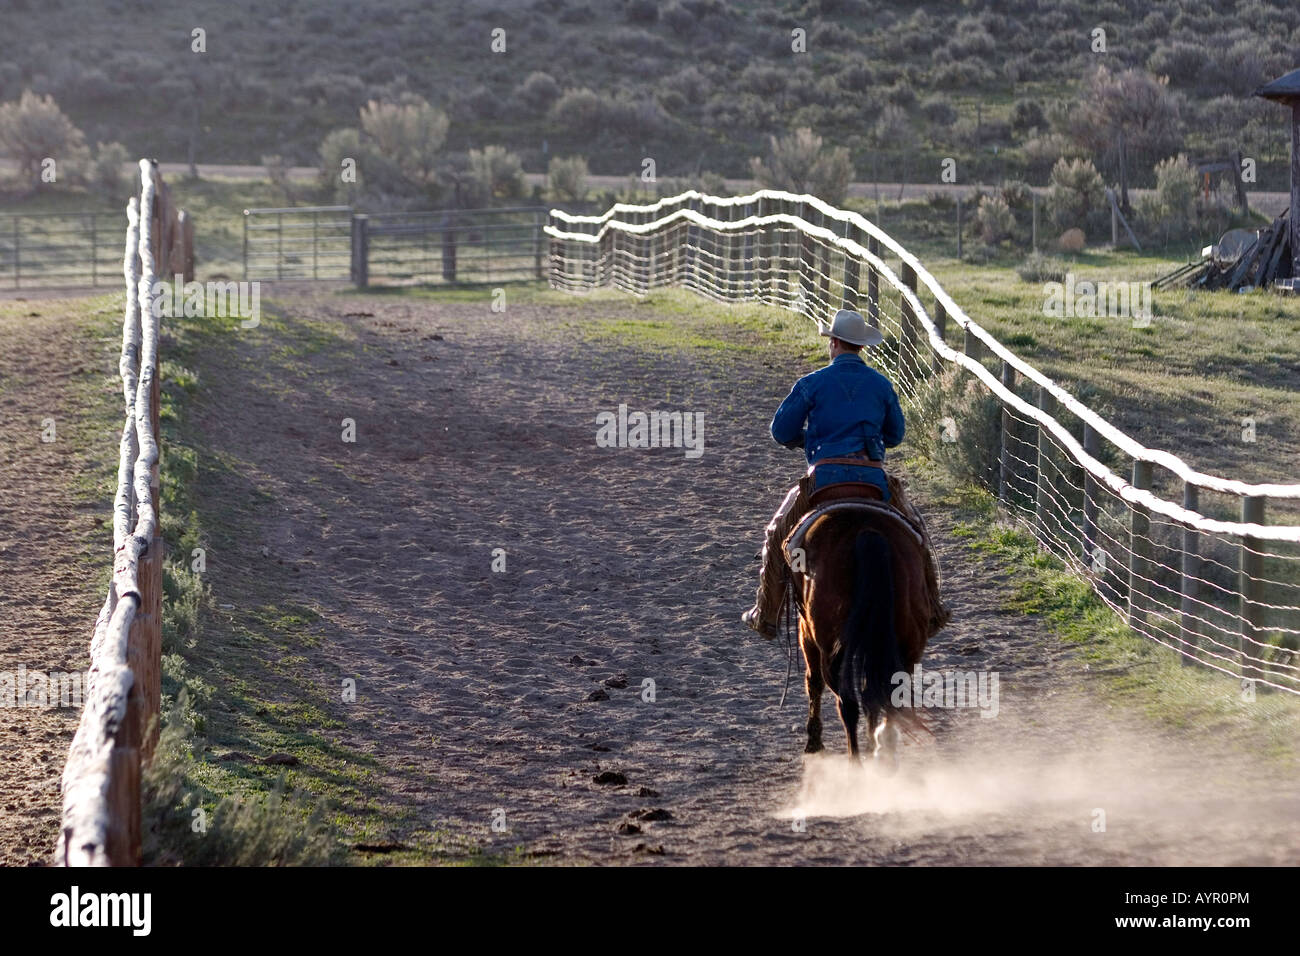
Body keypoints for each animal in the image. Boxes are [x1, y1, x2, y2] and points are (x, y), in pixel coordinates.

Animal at [785, 497, 937, 767]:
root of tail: (867, 532)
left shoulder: (807, 631)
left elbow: (813, 681)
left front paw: (813, 743)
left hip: (829, 645)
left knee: (847, 701)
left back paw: (856, 762)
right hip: (909, 641)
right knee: (886, 692)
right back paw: (882, 753)